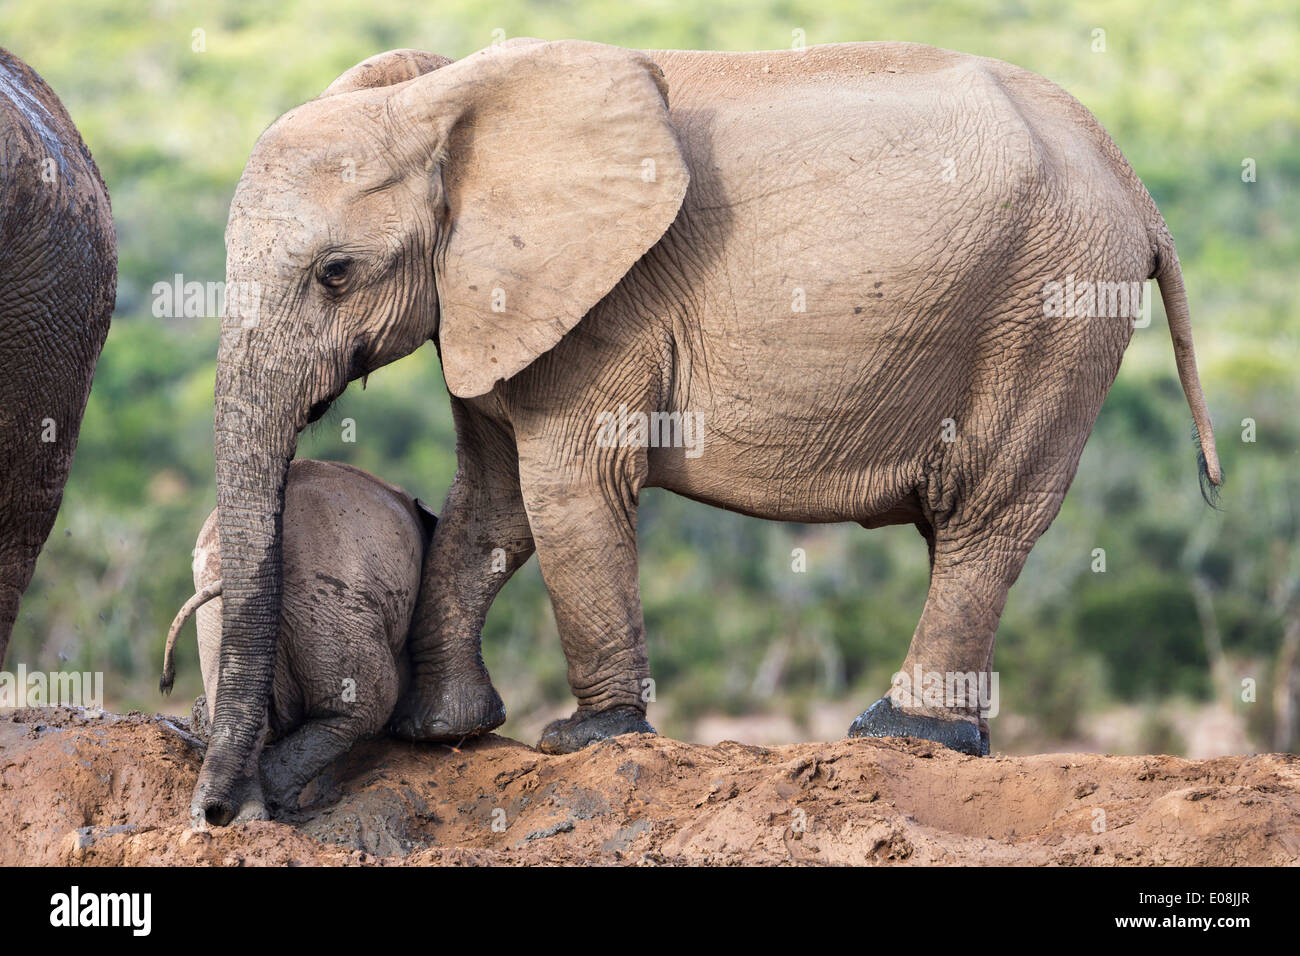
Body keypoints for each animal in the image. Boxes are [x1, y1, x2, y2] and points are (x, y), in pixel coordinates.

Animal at [193, 39, 1220, 826]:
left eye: (335, 273)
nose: (228, 810)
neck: (445, 100)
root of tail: (1139, 188)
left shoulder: (607, 303)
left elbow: (566, 489)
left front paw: (583, 740)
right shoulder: (486, 302)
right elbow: (492, 503)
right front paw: (443, 732)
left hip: (1053, 311)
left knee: (985, 518)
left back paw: (903, 735)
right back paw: (957, 739)